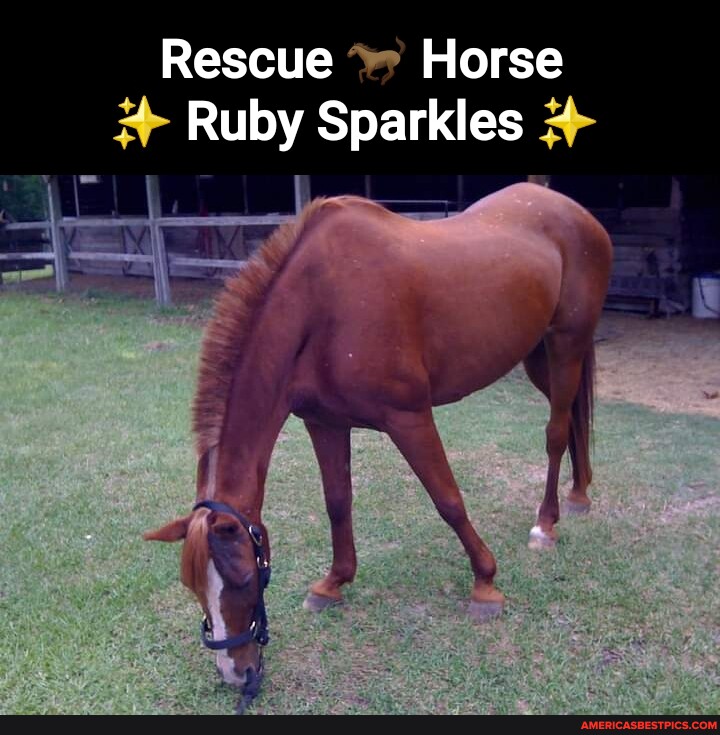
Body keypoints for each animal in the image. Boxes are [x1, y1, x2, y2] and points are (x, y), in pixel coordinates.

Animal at [145, 183, 613, 703]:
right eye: (192, 587)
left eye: (246, 576)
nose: (236, 674)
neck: (322, 304)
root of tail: (574, 211)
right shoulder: (324, 423)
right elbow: (338, 502)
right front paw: (333, 583)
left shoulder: (409, 418)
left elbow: (448, 499)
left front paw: (485, 582)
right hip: (536, 354)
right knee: (573, 420)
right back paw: (579, 495)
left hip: (566, 344)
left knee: (555, 432)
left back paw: (546, 523)